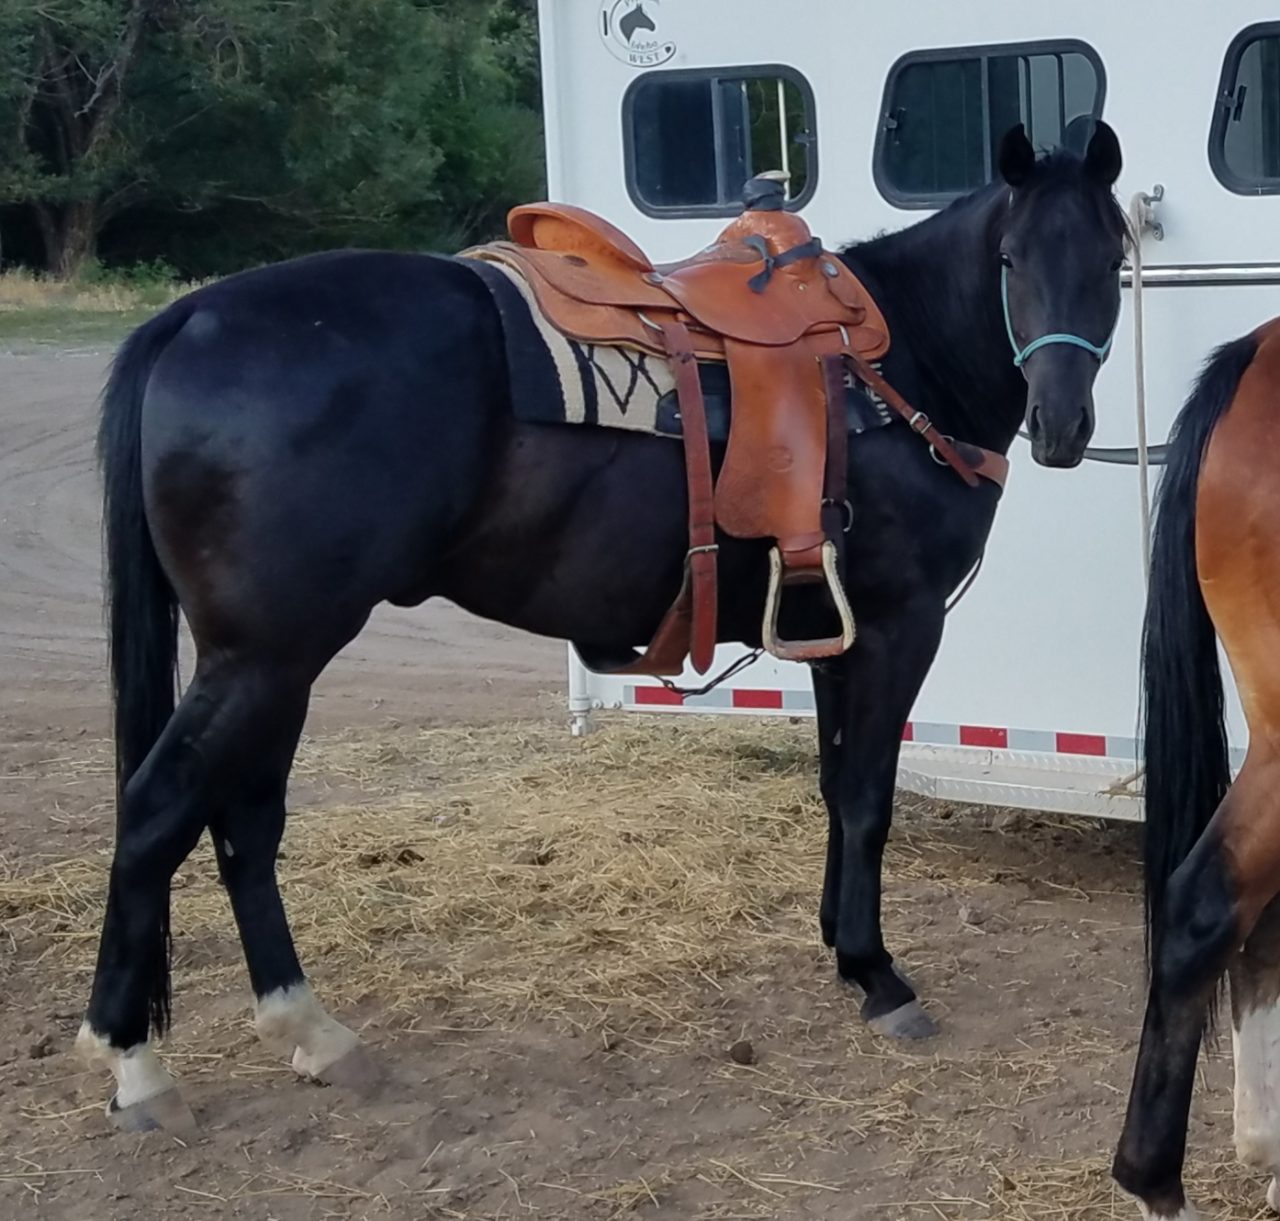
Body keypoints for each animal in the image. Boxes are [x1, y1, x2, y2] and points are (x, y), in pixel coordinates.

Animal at [76, 122, 1127, 1130]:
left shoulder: (835, 627)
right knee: (159, 808)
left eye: (1111, 255)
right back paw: (136, 1061)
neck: (893, 360)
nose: (1063, 423)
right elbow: (869, 797)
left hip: (275, 664)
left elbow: (836, 789)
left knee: (246, 825)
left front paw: (838, 942)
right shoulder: (897, 625)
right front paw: (876, 973)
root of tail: (188, 318)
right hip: (263, 658)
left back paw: (310, 1029)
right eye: (1013, 258)